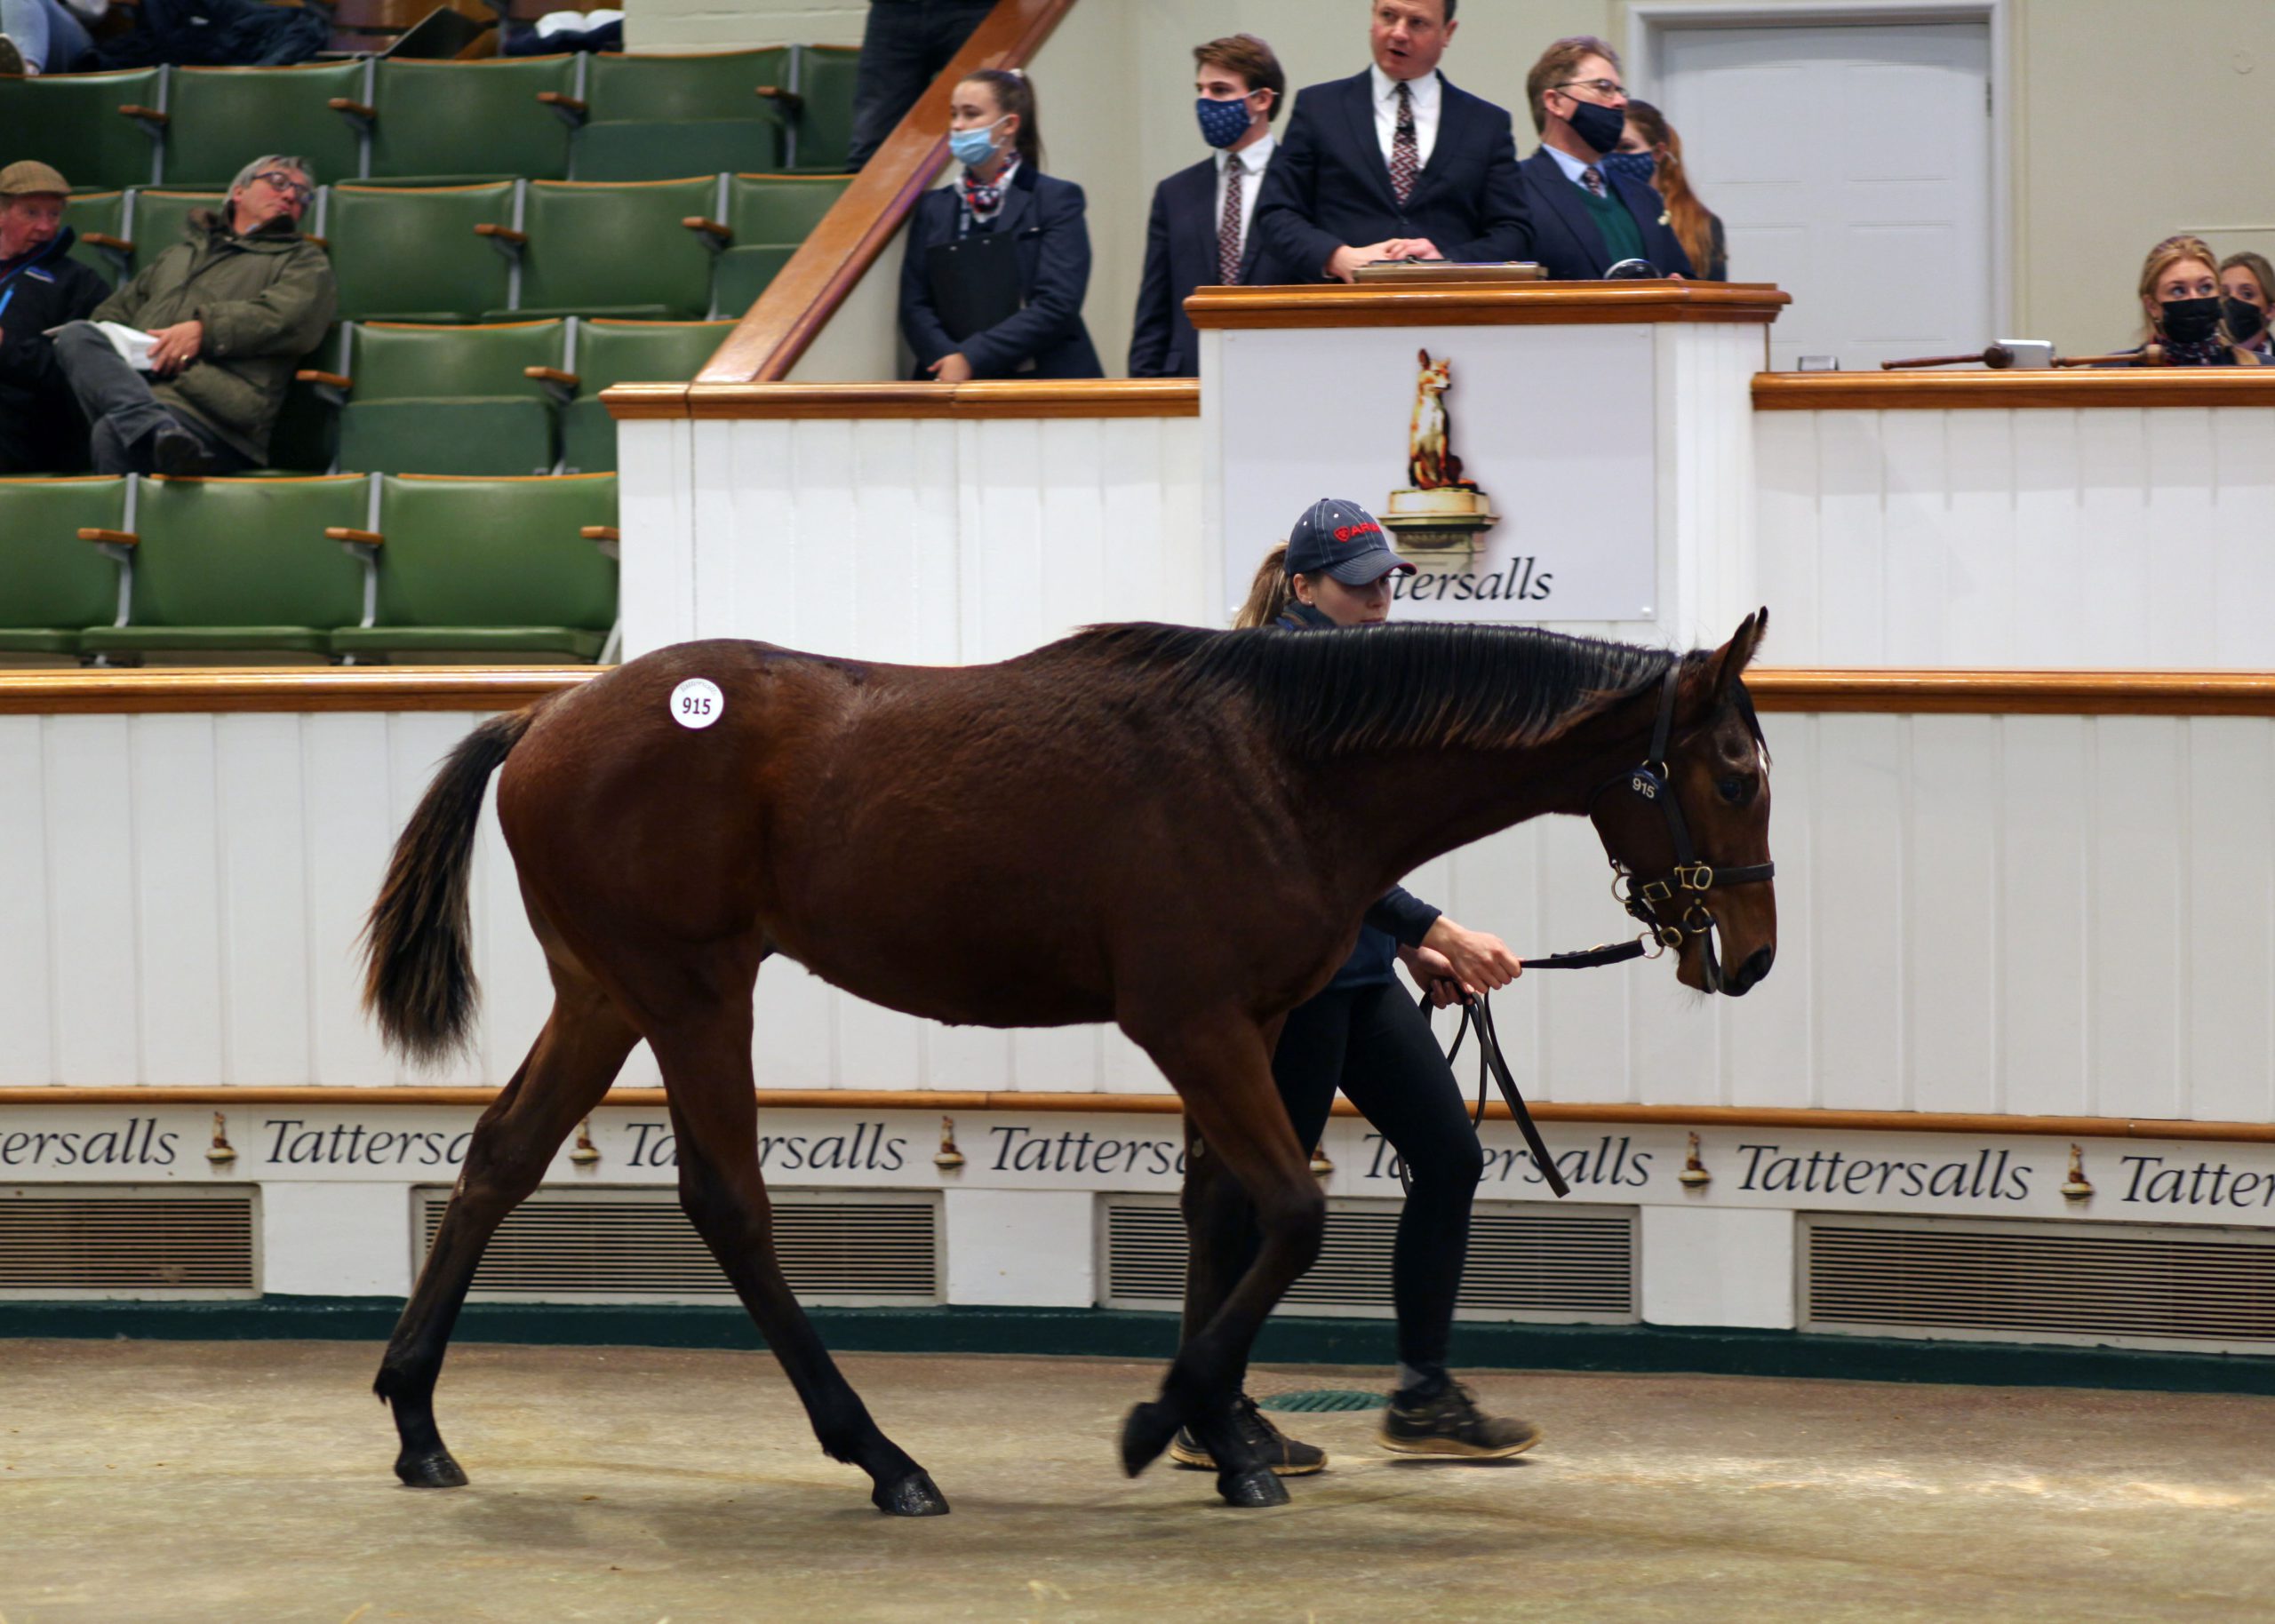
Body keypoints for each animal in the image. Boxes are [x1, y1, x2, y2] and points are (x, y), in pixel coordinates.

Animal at [360, 610, 1777, 1517]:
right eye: (1732, 771)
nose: (1752, 955)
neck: (1281, 767)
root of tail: (545, 714)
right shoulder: (1192, 1021)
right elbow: (1296, 1214)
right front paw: (1163, 1422)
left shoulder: (1253, 1025)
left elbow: (1224, 1215)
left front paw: (1230, 1440)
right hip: (693, 991)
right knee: (729, 1204)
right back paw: (883, 1458)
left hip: (604, 993)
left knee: (499, 1160)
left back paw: (419, 1424)